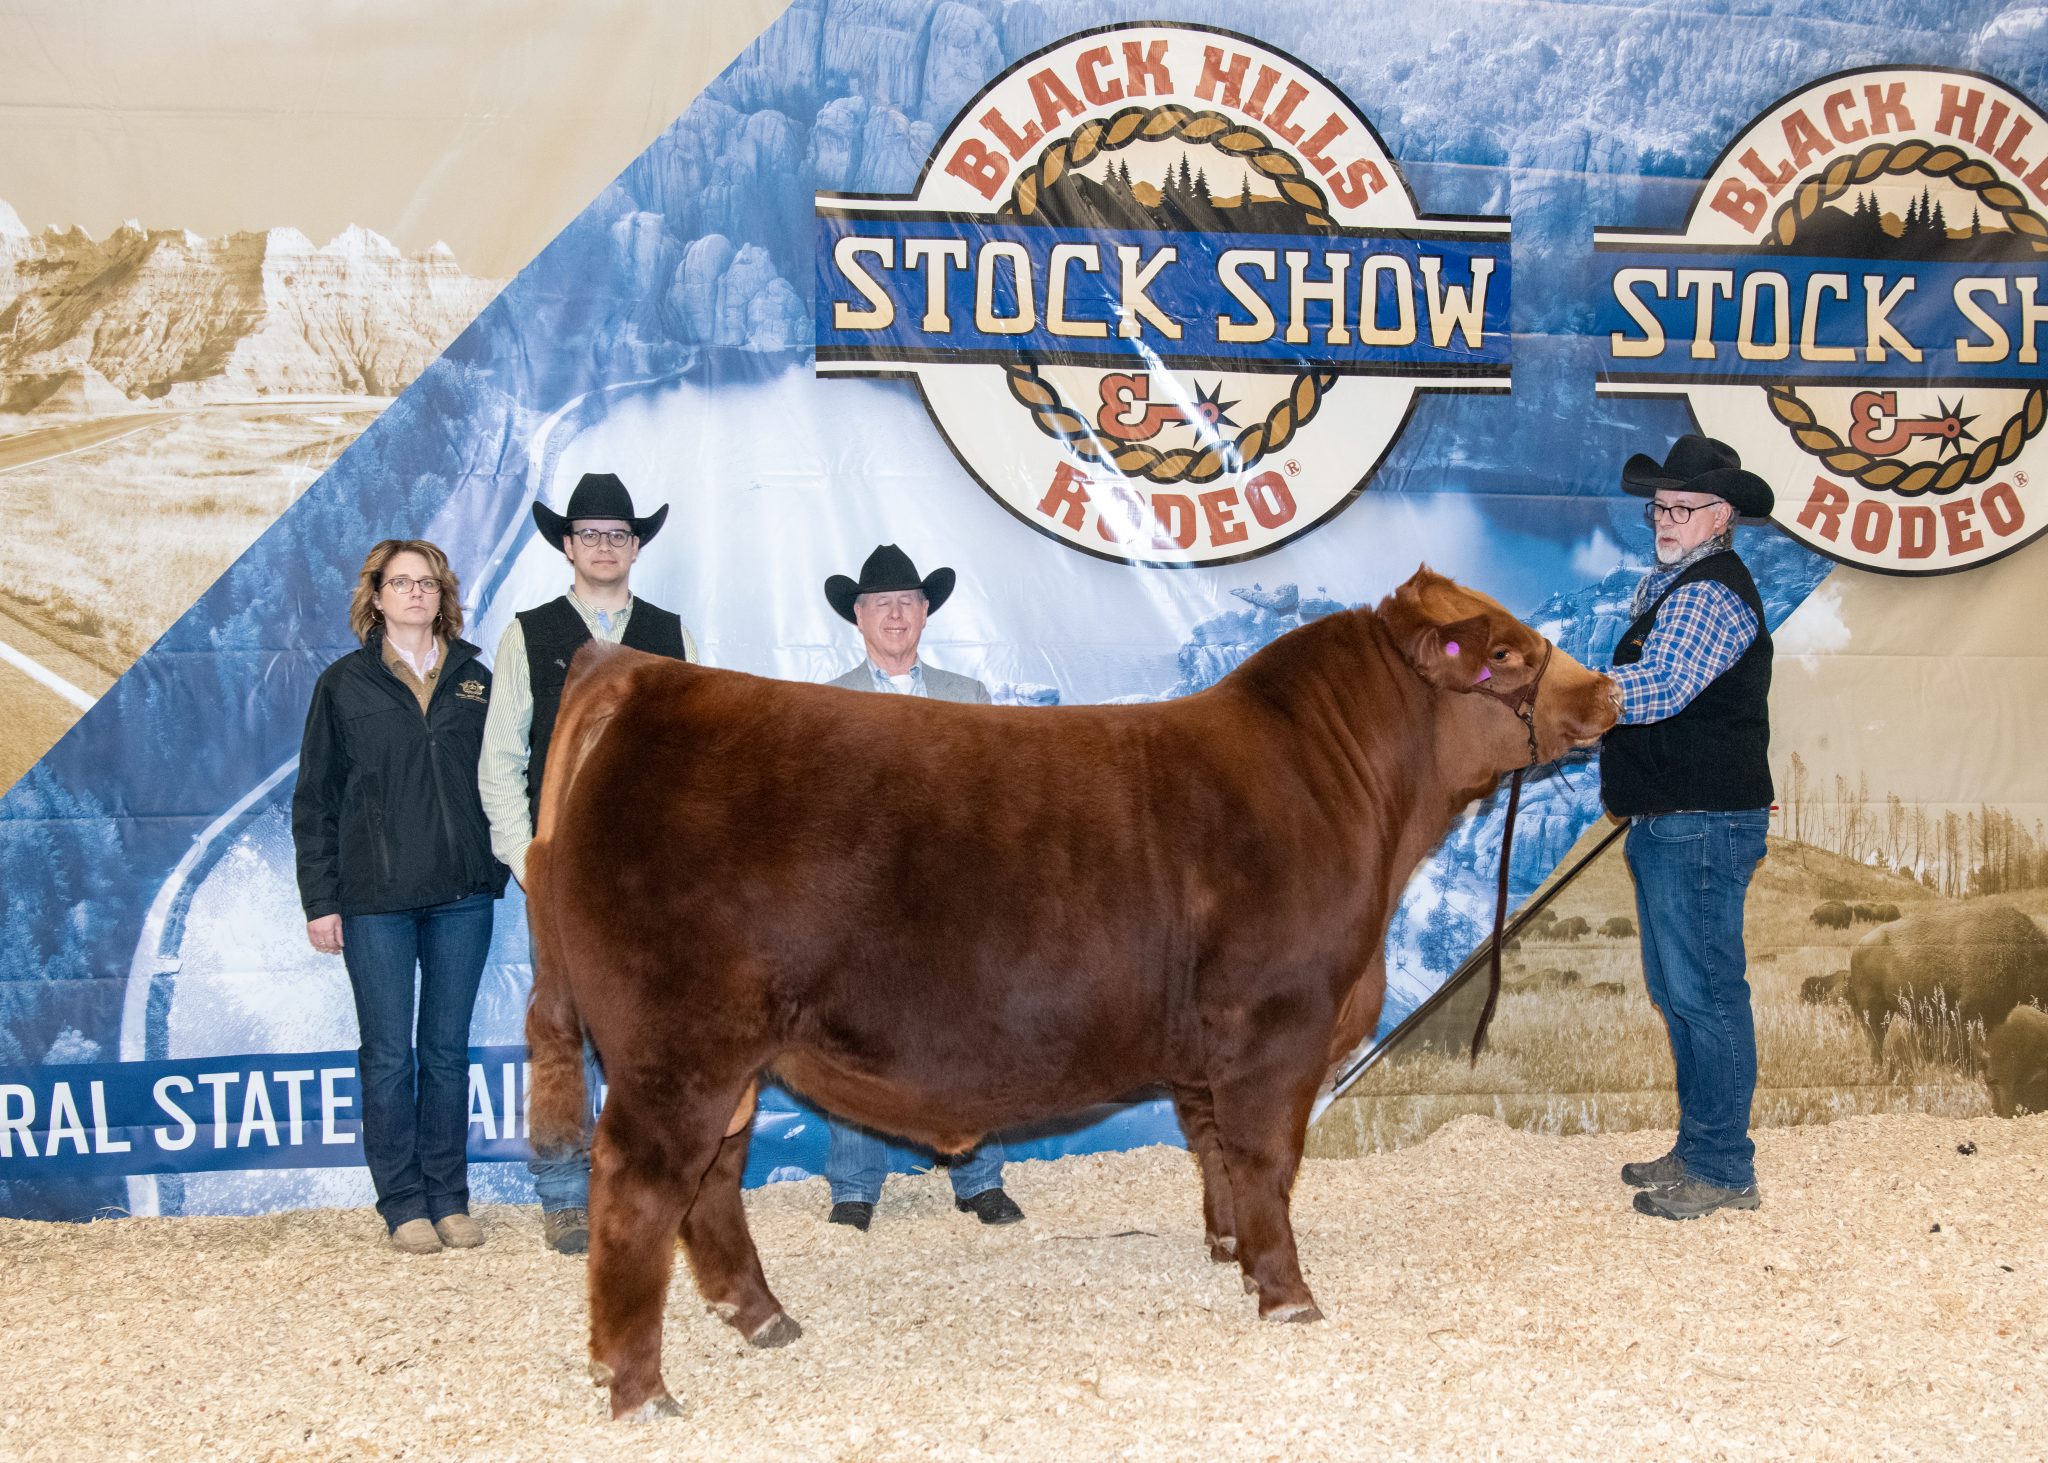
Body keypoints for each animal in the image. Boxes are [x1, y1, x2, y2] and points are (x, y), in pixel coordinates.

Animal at [522, 565, 1619, 1420]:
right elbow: (1268, 1156)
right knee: (639, 1186)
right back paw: (640, 1387)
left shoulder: (1207, 1048)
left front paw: (1228, 1248)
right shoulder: (1276, 1025)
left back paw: (763, 1318)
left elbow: (1215, 1148)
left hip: (730, 1056)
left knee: (710, 1181)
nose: (1609, 689)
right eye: (1508, 652)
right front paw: (1288, 1292)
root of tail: (646, 674)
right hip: (679, 1045)